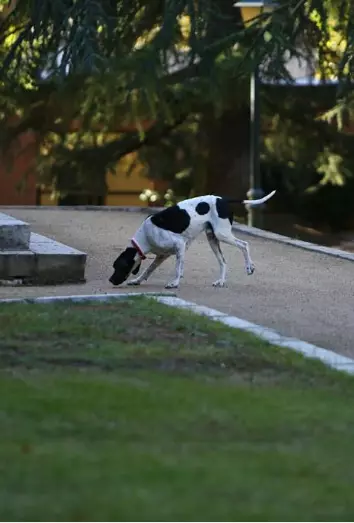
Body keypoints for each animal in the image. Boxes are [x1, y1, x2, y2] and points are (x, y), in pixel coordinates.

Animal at [109, 190, 276, 290]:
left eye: (118, 266)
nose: (110, 280)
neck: (145, 235)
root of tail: (223, 200)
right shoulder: (161, 256)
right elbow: (148, 270)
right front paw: (137, 280)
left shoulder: (180, 246)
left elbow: (178, 269)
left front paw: (175, 283)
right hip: (213, 239)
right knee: (223, 262)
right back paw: (221, 281)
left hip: (222, 234)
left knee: (244, 245)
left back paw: (249, 267)